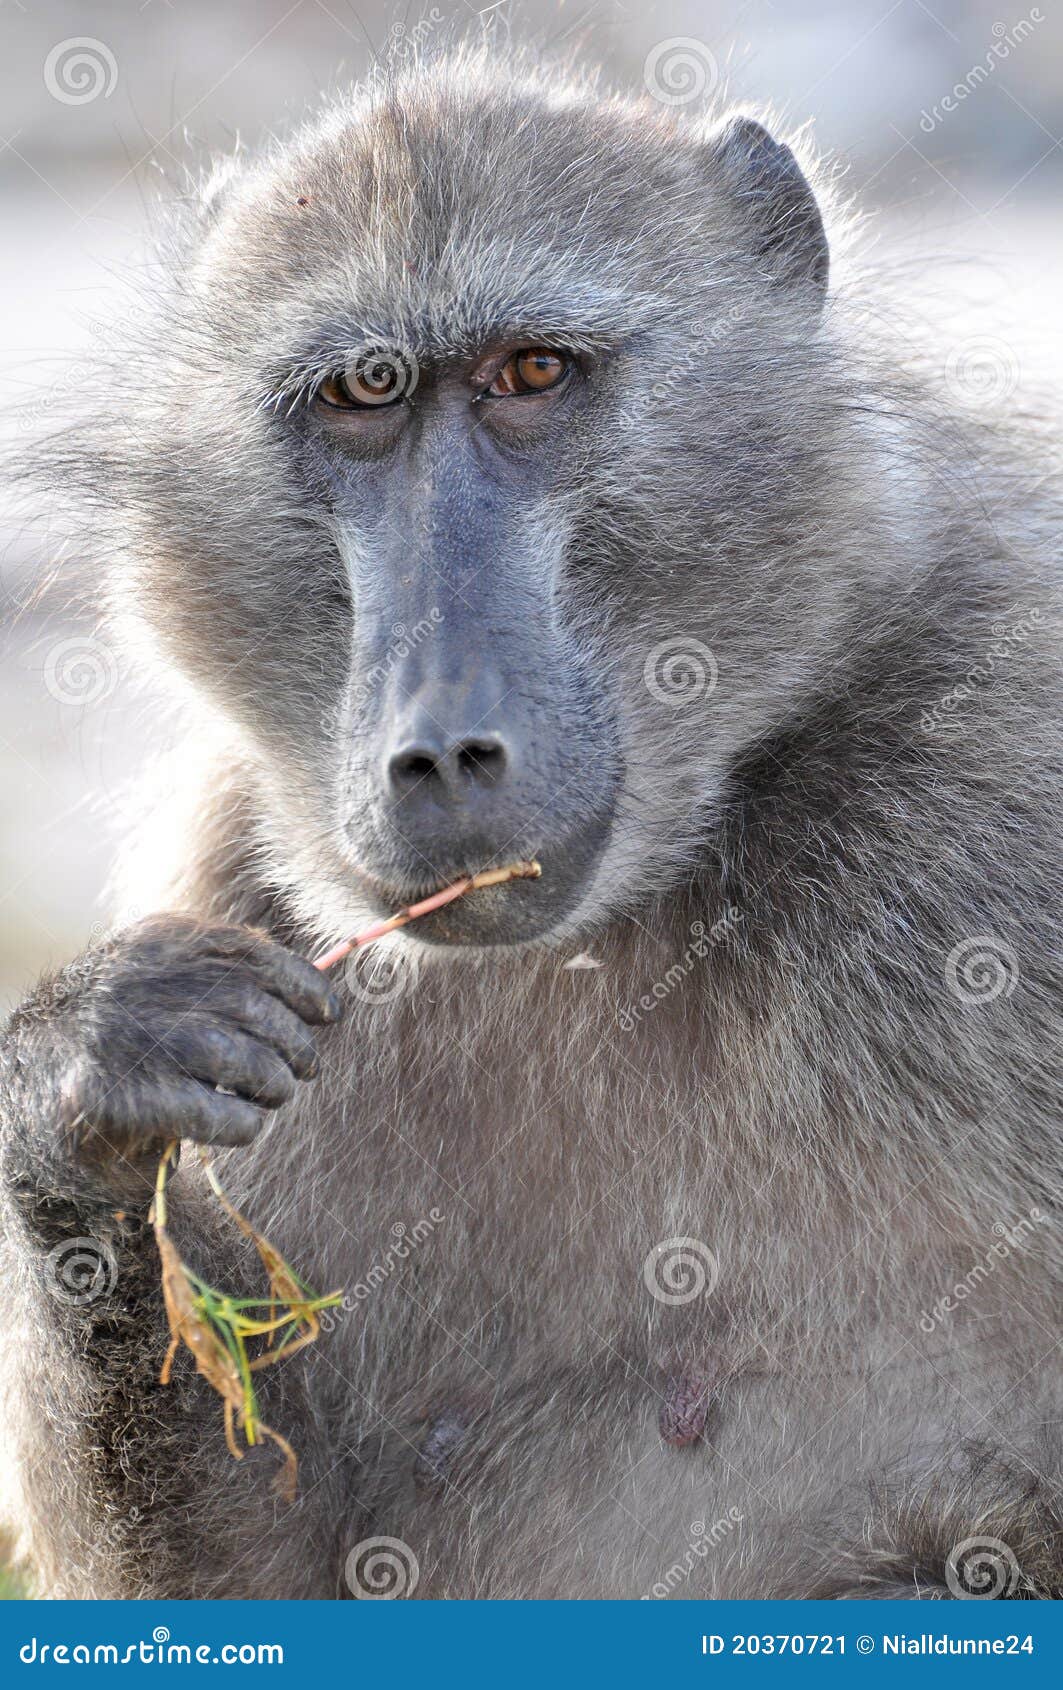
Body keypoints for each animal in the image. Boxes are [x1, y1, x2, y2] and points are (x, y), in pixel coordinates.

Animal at [1, 45, 1061, 1601]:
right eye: (361, 396)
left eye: (532, 375)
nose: (439, 748)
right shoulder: (239, 875)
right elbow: (258, 1575)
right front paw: (91, 1074)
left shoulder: (1006, 781)